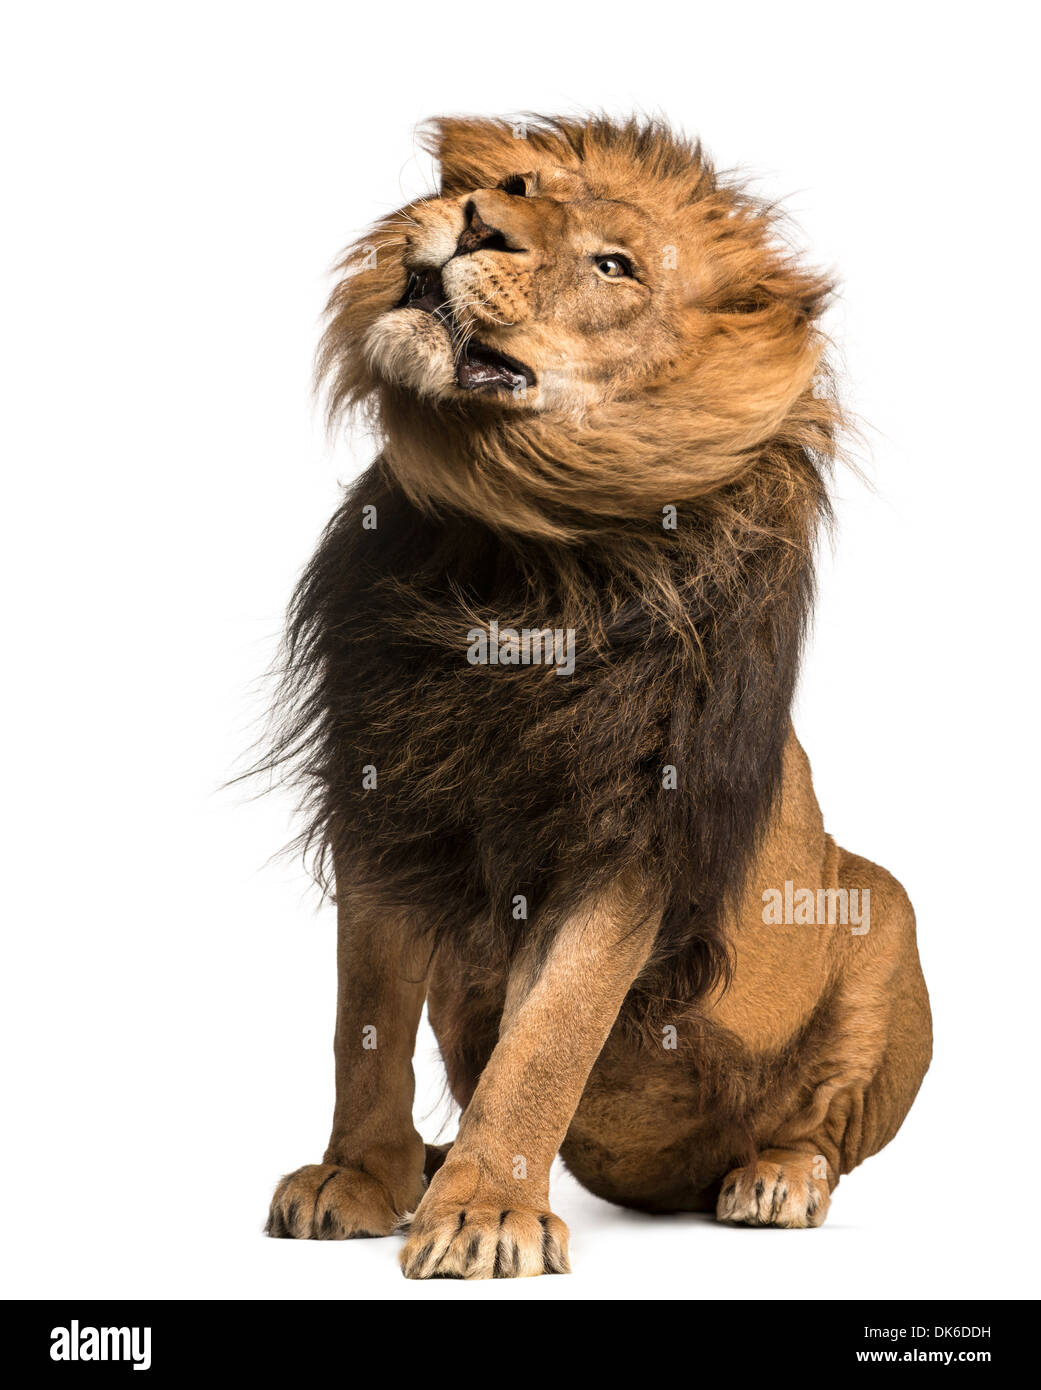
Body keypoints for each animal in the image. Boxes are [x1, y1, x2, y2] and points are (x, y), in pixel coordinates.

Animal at [263, 115, 931, 1278]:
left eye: (616, 265)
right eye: (516, 184)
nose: (477, 220)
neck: (502, 556)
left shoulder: (628, 838)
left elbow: (547, 1039)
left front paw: (487, 1212)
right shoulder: (385, 799)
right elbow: (366, 1019)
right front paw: (360, 1175)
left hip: (884, 916)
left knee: (819, 1130)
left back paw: (775, 1178)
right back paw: (428, 1162)